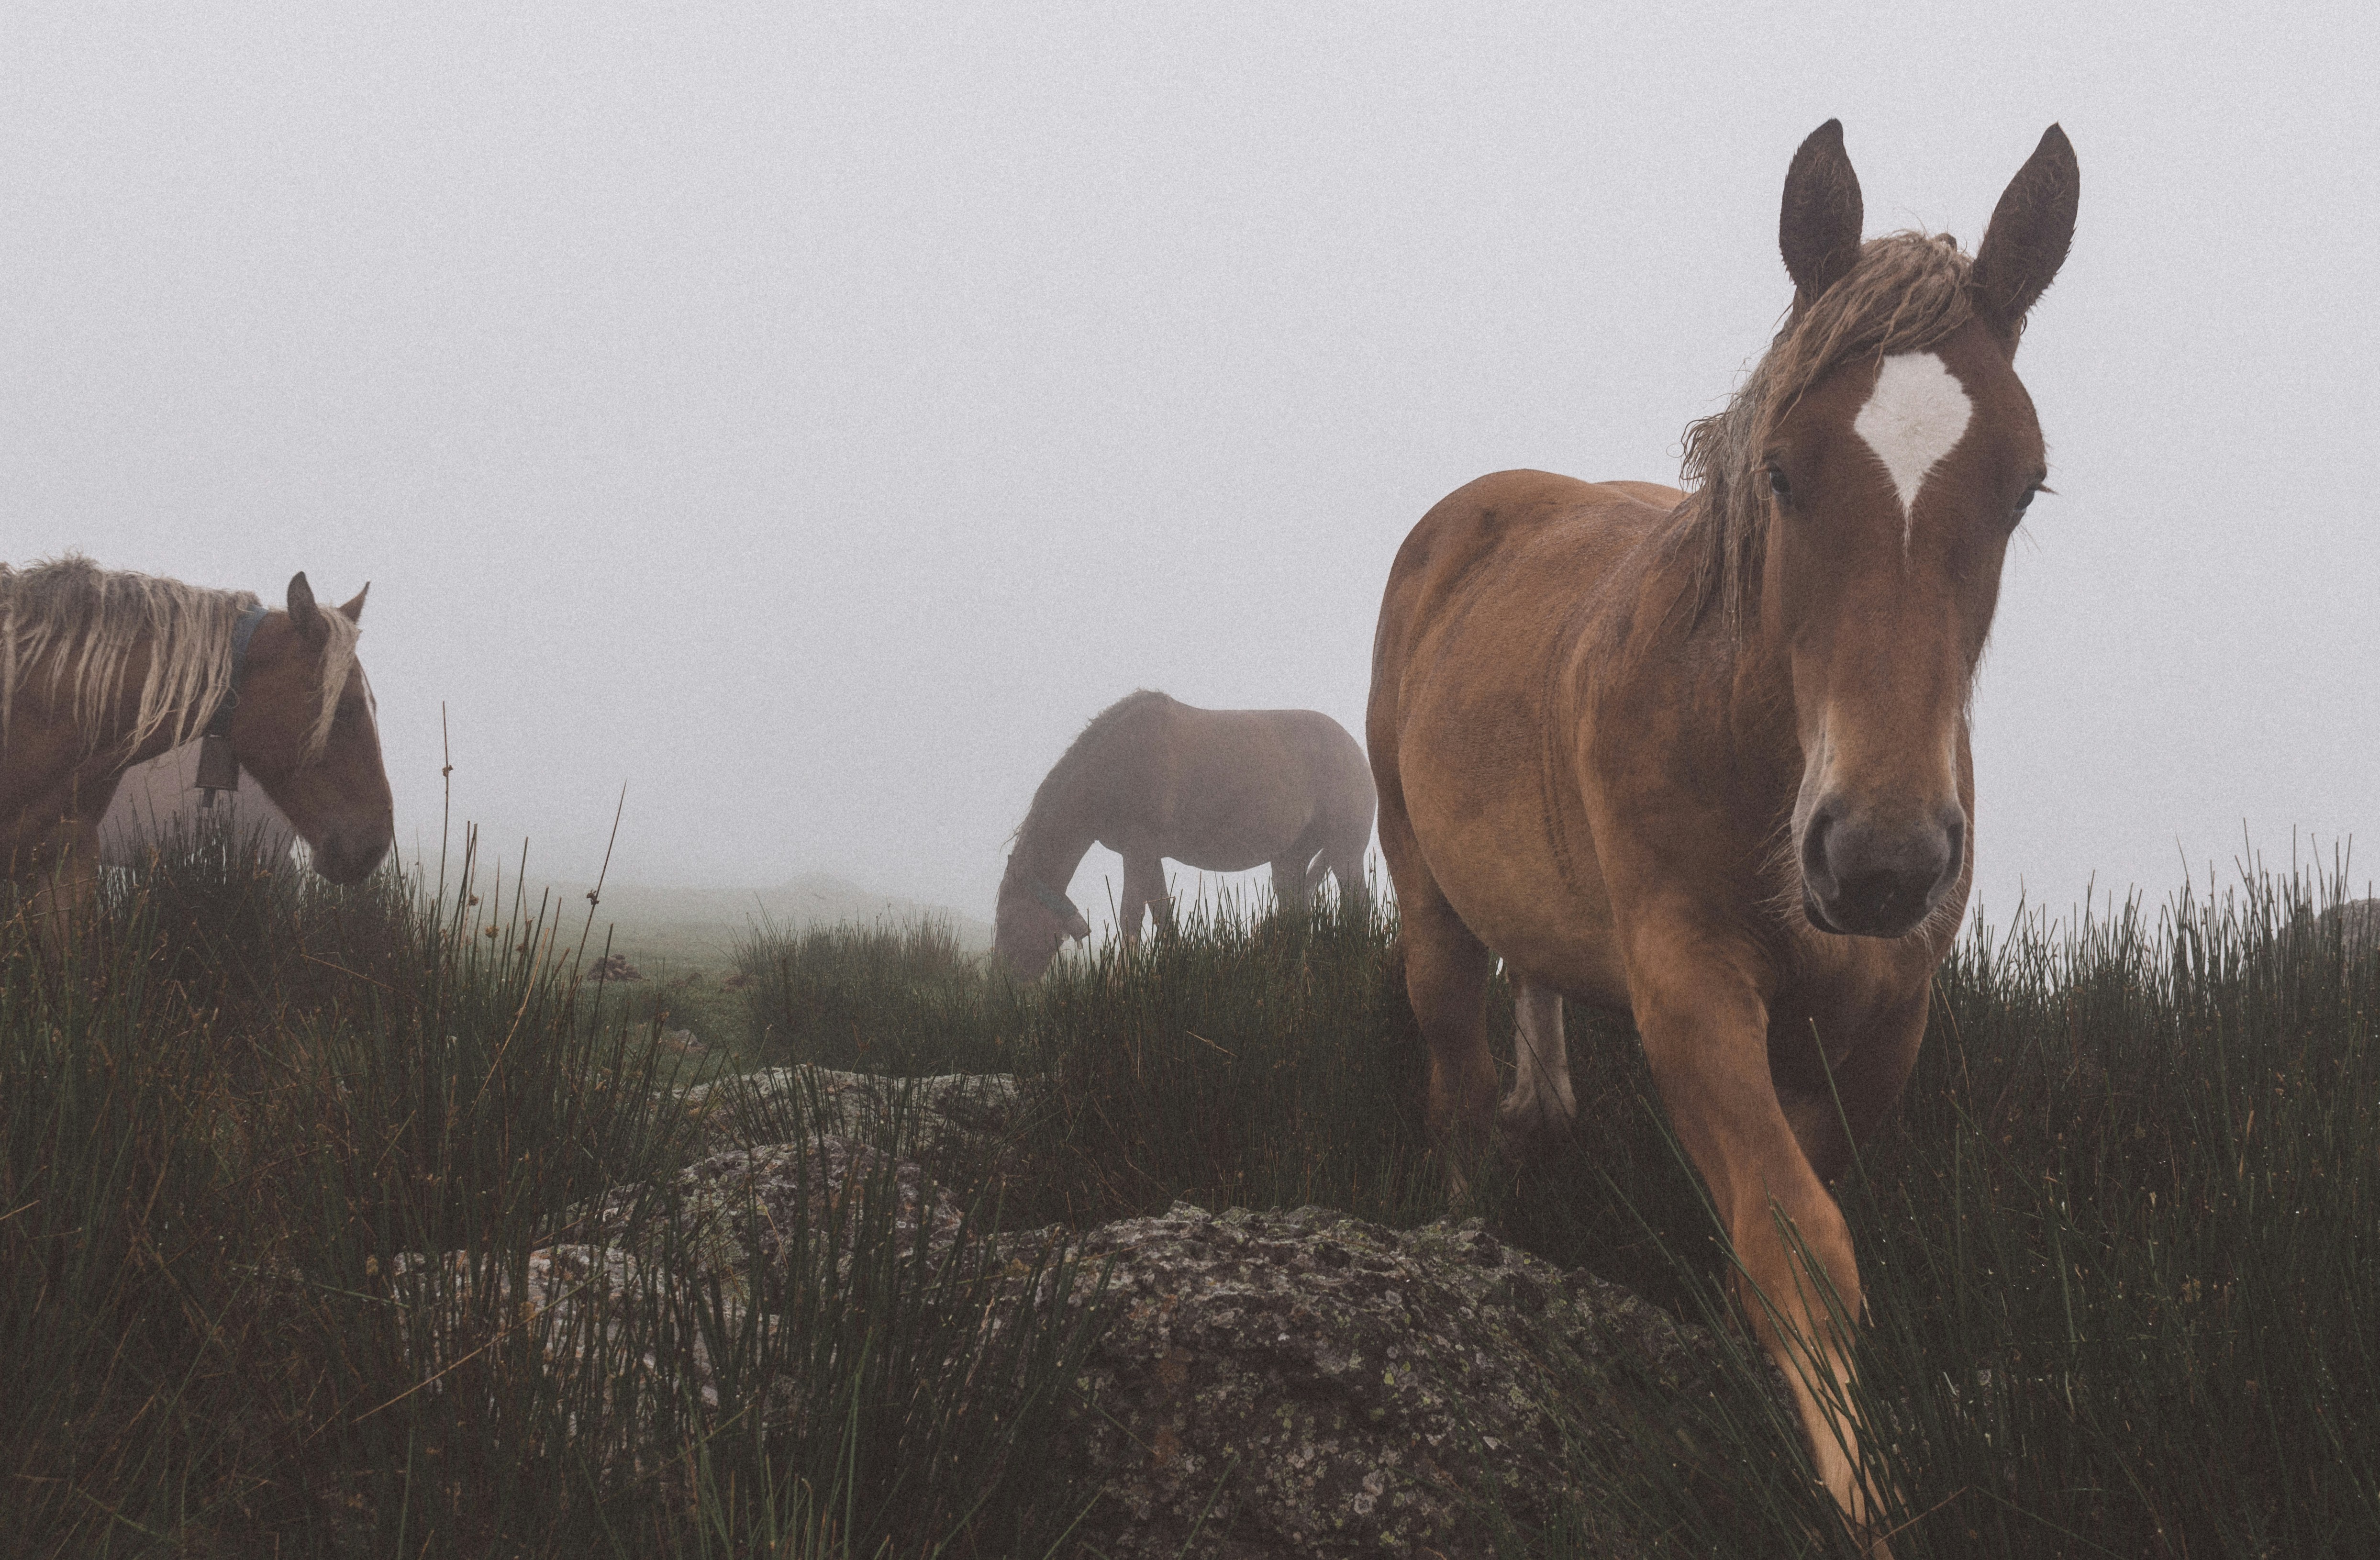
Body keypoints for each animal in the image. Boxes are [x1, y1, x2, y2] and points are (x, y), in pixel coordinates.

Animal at [994, 690, 1376, 978]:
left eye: (1008, 922)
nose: (1003, 989)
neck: (1116, 762)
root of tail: (1356, 750)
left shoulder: (1138, 851)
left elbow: (1131, 917)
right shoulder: (1149, 856)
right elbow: (1163, 915)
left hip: (1345, 852)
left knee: (1358, 905)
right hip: (1289, 858)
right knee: (1296, 914)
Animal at [1366, 121, 2077, 1545]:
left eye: (2024, 484)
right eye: (1781, 470)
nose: (1880, 862)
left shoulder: (1883, 1017)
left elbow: (1792, 1216)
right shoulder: (1687, 991)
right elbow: (1797, 1243)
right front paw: (1856, 1502)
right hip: (1425, 896)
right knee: (1455, 1071)